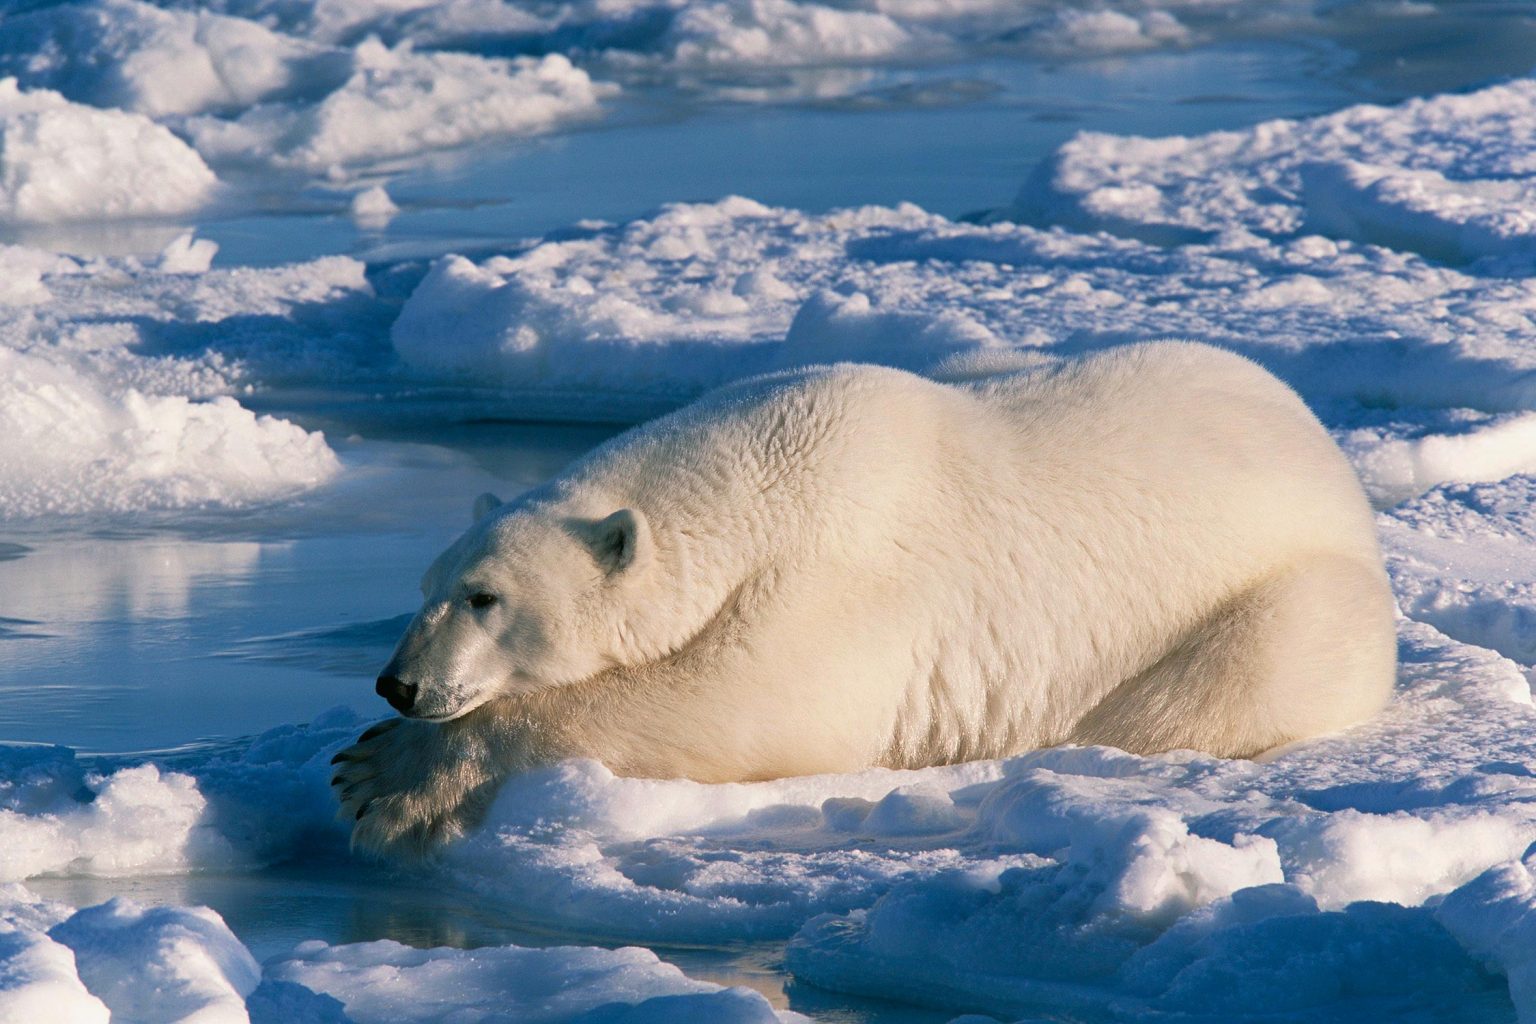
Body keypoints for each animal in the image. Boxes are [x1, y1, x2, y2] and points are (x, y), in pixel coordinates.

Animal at [331, 341, 1395, 857]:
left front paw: (379, 777)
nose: (397, 686)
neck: (759, 480)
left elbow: (740, 704)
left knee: (1220, 684)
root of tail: (1328, 453)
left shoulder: (851, 583)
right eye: (426, 587)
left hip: (1289, 599)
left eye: (484, 598)